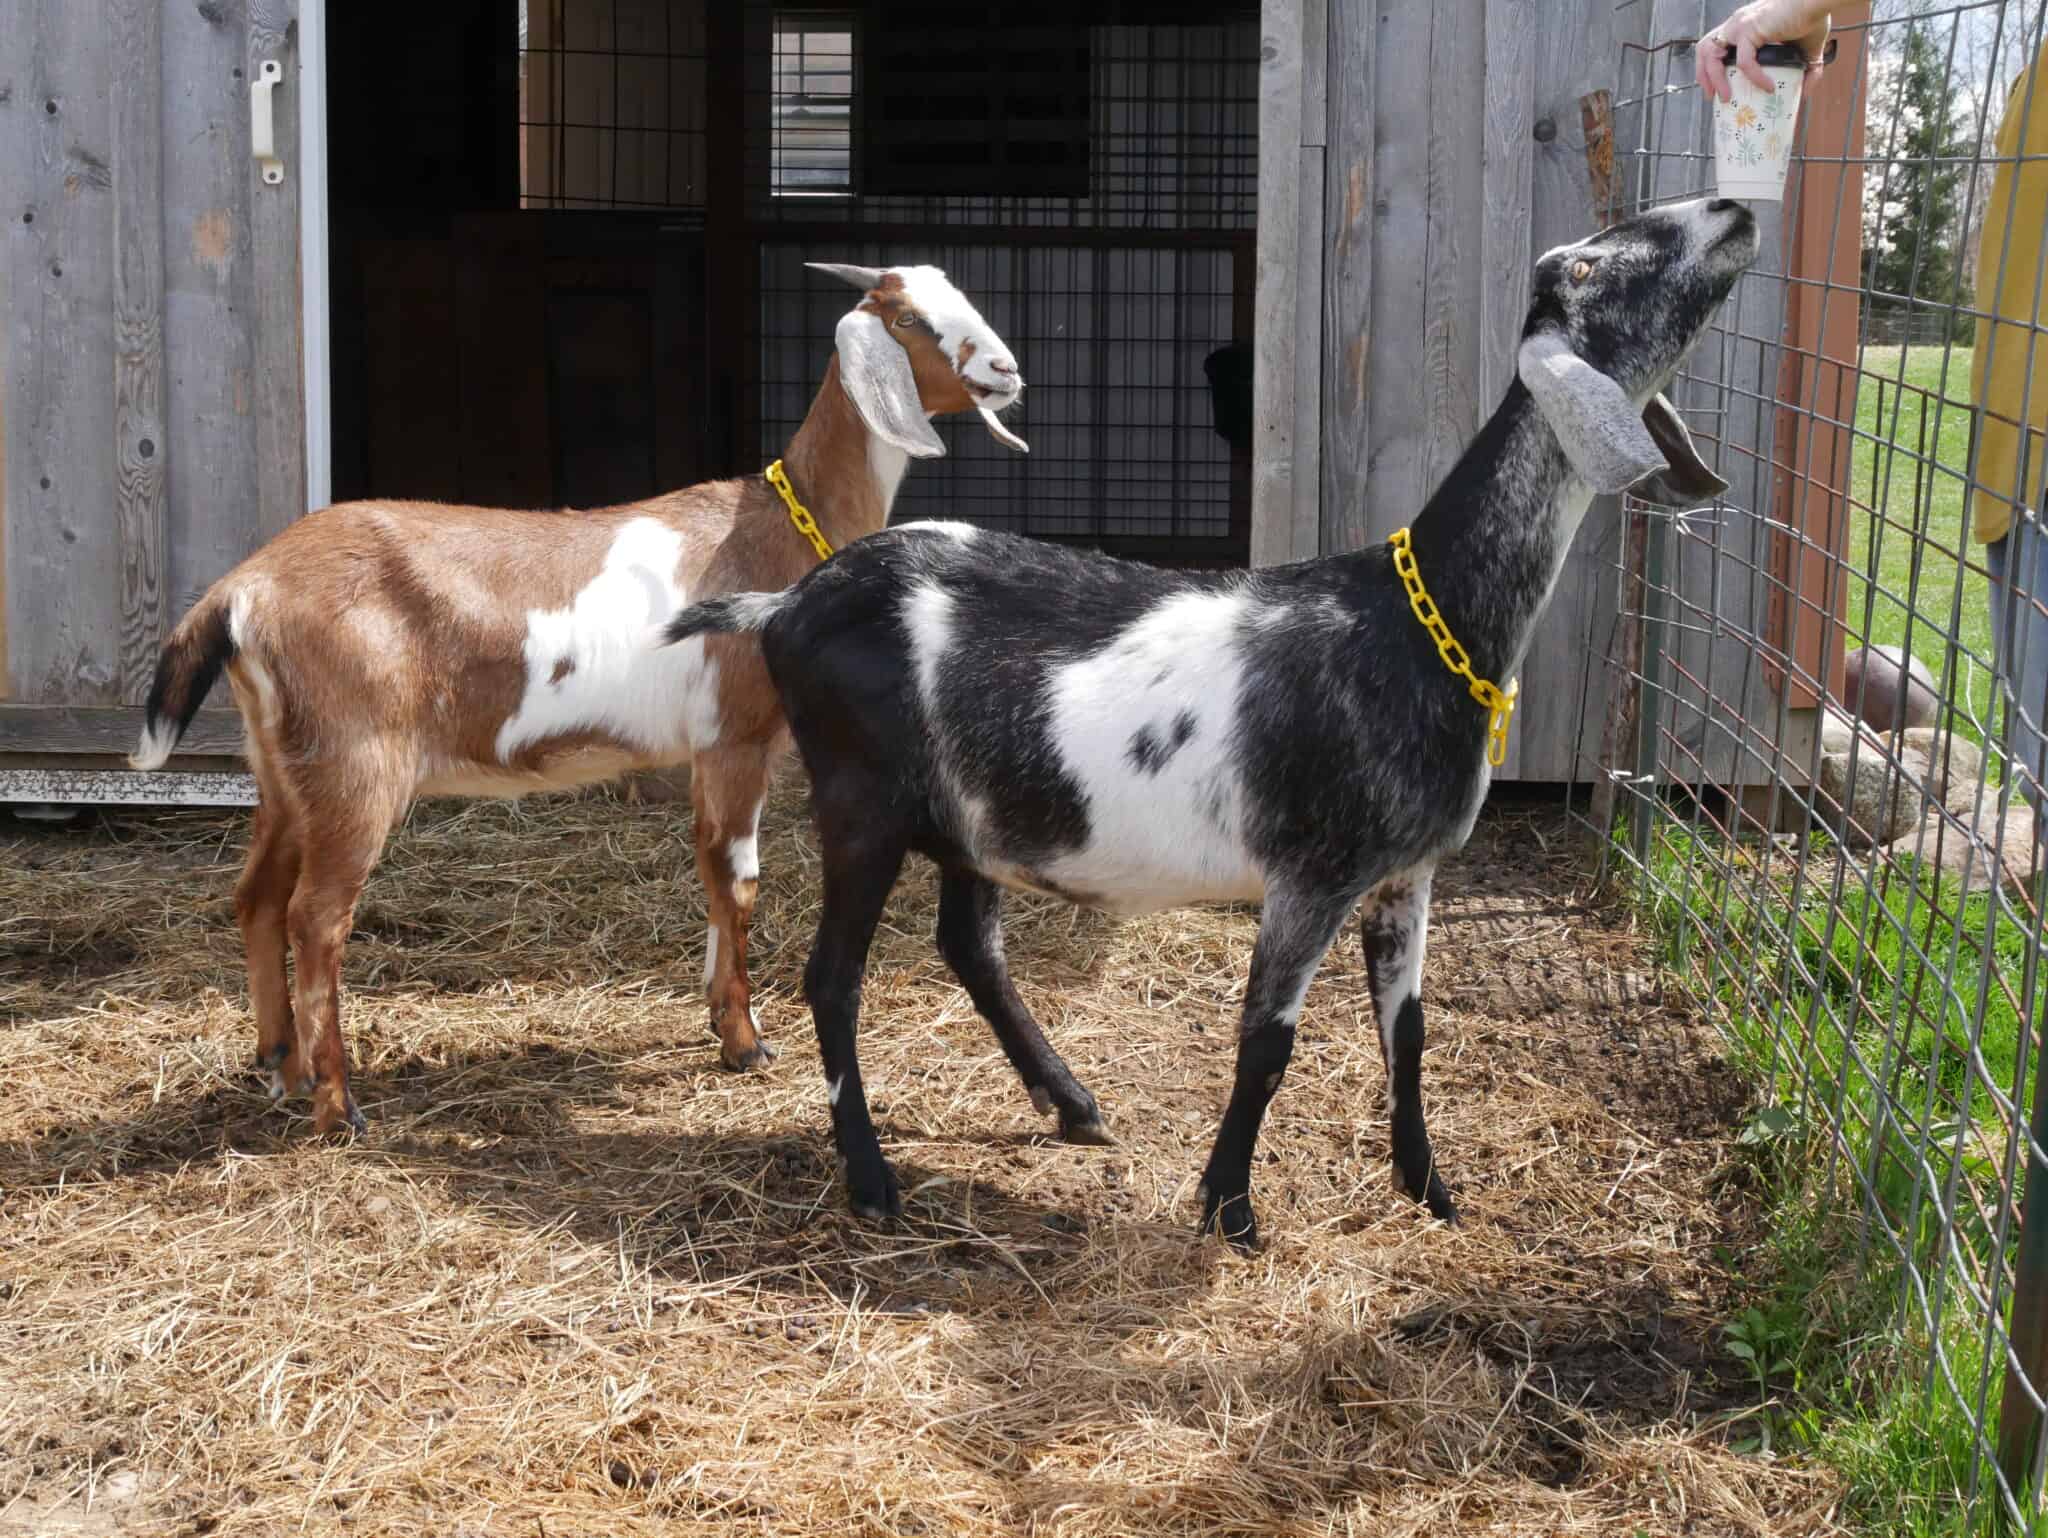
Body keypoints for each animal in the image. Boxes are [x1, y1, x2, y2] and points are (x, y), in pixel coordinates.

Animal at [130, 263, 1028, 1137]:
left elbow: (706, 865)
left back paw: (279, 1062)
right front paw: (746, 1043)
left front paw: (718, 1020)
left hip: (285, 765)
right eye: (911, 320)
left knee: (257, 896)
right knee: (317, 919)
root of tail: (243, 589)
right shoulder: (737, 735)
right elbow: (738, 880)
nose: (1007, 370)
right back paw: (336, 1105)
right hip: (356, 763)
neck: (781, 523)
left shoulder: (703, 748)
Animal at [663, 198, 1758, 1245]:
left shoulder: (1407, 870)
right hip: (860, 801)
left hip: (975, 816)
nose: (1734, 211)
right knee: (832, 978)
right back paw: (872, 1177)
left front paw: (1430, 1189)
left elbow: (1405, 1031)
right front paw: (1230, 1209)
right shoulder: (1312, 872)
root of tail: (783, 606)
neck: (1418, 620)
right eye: (1584, 264)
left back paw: (1071, 1103)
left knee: (969, 944)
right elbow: (1266, 1040)